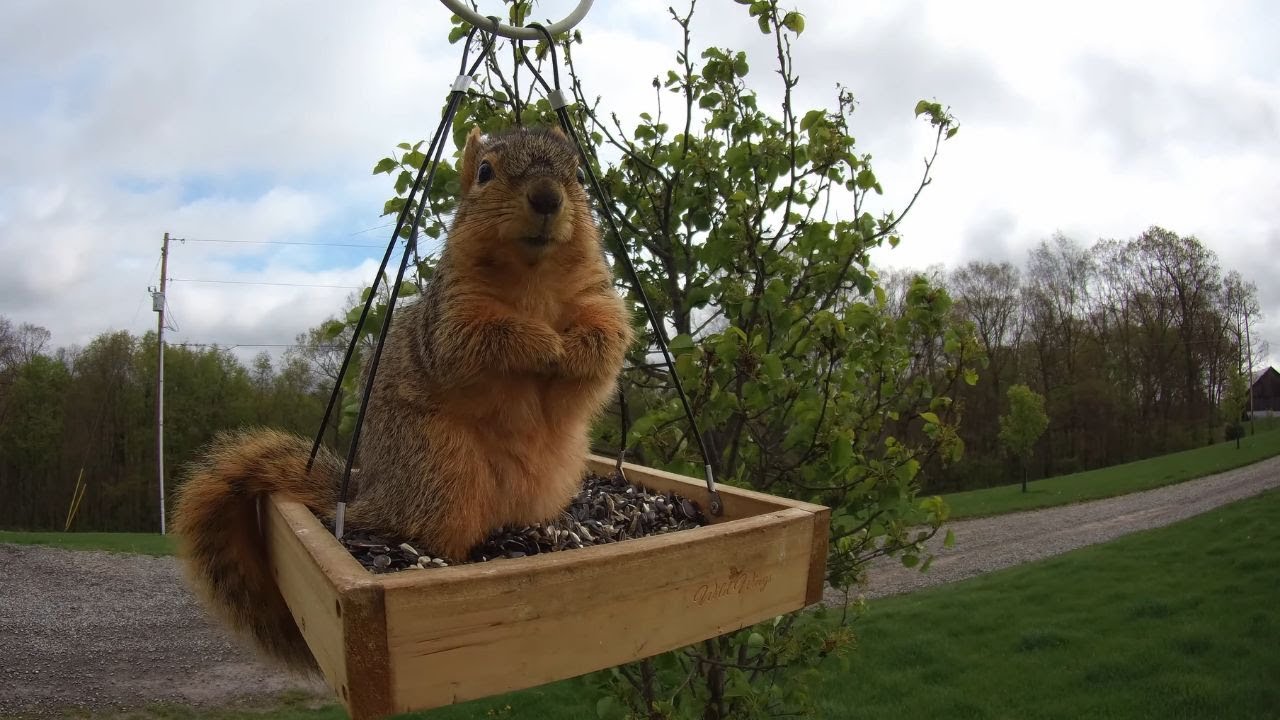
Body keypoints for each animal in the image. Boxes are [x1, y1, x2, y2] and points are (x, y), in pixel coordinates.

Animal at [171, 125, 635, 672]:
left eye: (580, 174)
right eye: (485, 172)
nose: (547, 197)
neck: (534, 274)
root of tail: (371, 493)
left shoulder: (599, 299)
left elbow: (607, 343)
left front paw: (573, 349)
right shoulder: (450, 321)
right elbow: (483, 339)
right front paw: (542, 343)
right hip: (439, 464)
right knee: (430, 529)